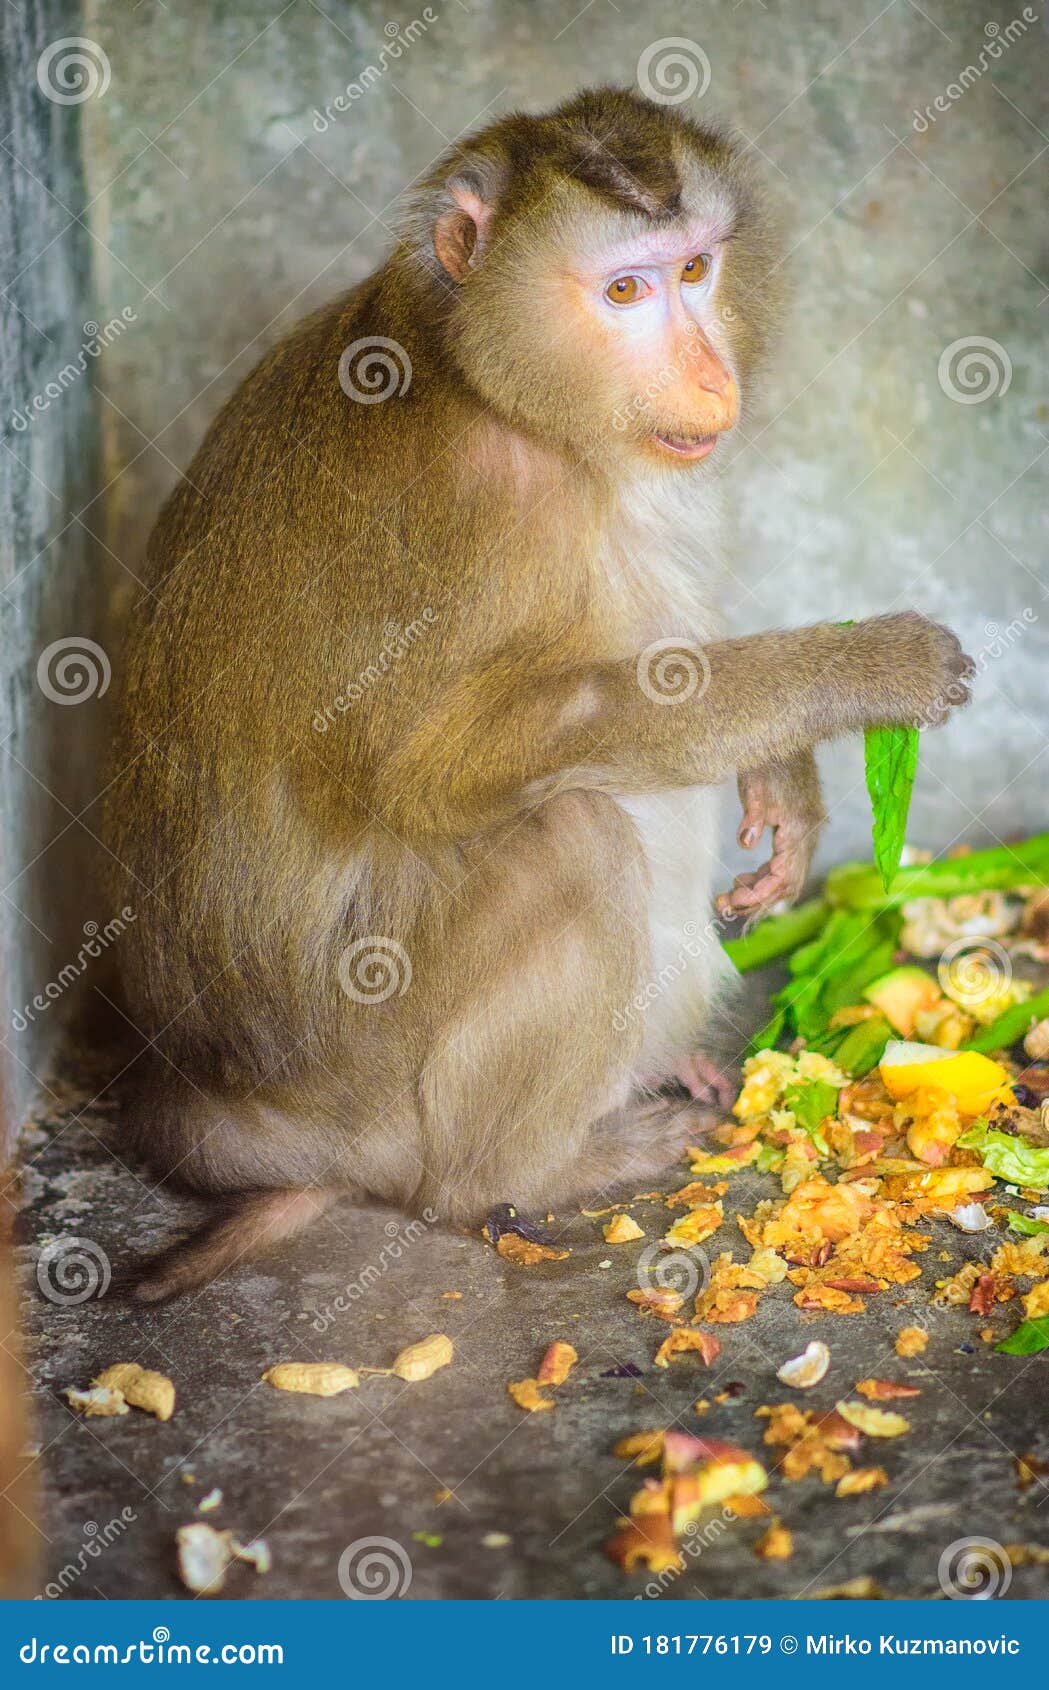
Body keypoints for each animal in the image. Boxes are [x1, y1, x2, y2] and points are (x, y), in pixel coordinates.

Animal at [103, 88, 973, 1301]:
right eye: (623, 292)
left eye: (694, 269)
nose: (709, 377)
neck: (487, 380)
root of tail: (251, 1119)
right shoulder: (489, 514)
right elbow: (439, 768)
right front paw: (857, 673)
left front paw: (784, 771)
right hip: (373, 1079)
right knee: (575, 836)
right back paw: (522, 1173)